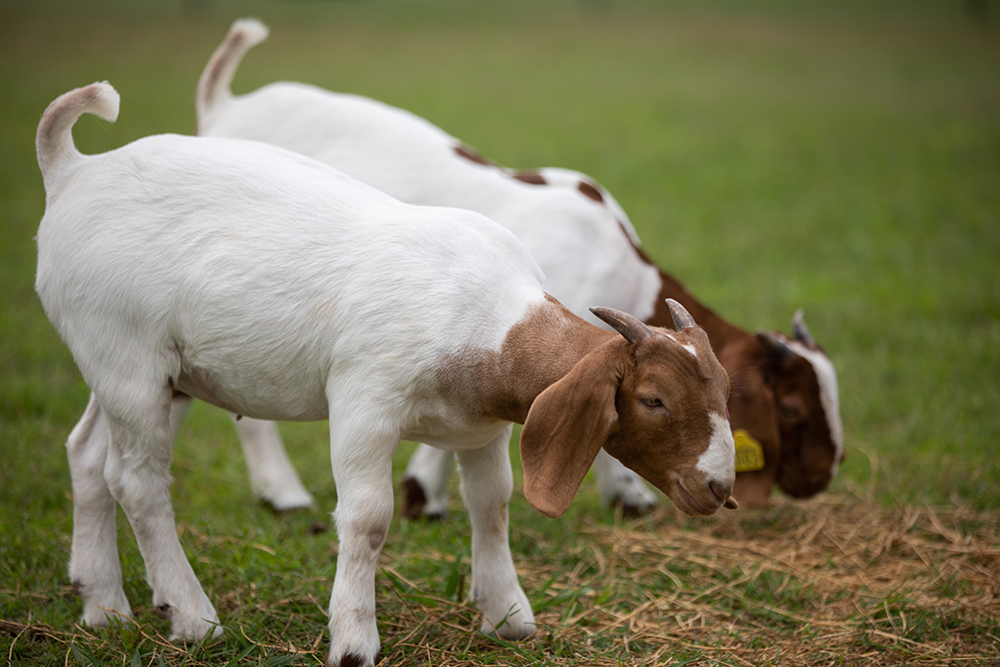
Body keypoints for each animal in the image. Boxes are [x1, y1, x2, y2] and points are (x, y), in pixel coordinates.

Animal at [35, 82, 736, 667]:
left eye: (726, 389)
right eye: (654, 400)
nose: (719, 486)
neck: (487, 316)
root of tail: (72, 170)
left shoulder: (485, 427)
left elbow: (493, 502)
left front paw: (506, 615)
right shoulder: (364, 402)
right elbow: (369, 516)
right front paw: (353, 641)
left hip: (154, 372)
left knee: (87, 454)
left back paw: (104, 608)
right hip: (125, 356)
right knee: (138, 482)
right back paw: (192, 617)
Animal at [188, 18, 844, 513]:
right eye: (789, 407)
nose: (821, 479)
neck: (622, 265)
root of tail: (223, 106)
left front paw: (624, 497)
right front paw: (424, 493)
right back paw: (284, 493)